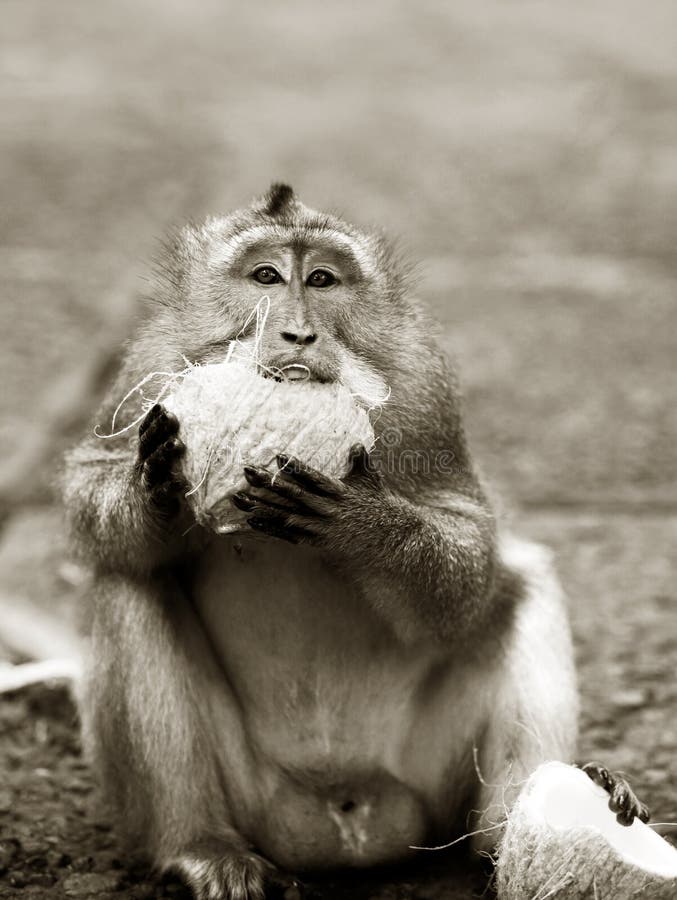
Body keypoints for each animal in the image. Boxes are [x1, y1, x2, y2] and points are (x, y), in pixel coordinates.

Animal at [62, 184, 650, 900]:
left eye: (322, 279)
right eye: (266, 276)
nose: (298, 332)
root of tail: (341, 811)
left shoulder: (425, 384)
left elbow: (470, 553)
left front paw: (365, 524)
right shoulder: (148, 361)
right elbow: (88, 487)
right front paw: (157, 483)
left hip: (426, 776)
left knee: (522, 582)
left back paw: (525, 825)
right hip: (252, 793)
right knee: (125, 581)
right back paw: (200, 845)